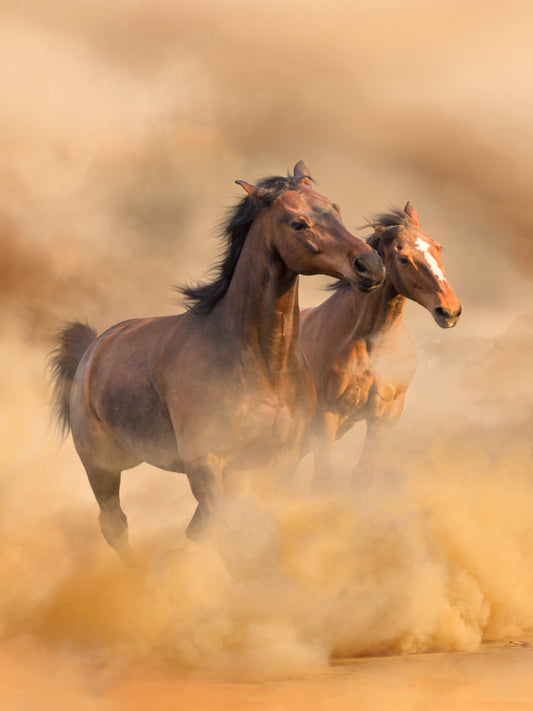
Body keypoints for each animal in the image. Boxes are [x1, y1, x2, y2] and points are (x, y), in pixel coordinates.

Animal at [48, 161, 385, 557]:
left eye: (336, 208)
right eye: (298, 223)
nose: (370, 265)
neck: (264, 366)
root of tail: (94, 348)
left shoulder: (272, 463)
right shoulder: (205, 464)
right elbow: (229, 537)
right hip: (101, 466)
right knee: (114, 524)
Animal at [299, 202, 462, 489]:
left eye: (438, 247)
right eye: (403, 258)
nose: (449, 311)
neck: (371, 345)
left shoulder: (386, 414)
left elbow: (362, 473)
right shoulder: (326, 414)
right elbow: (323, 479)